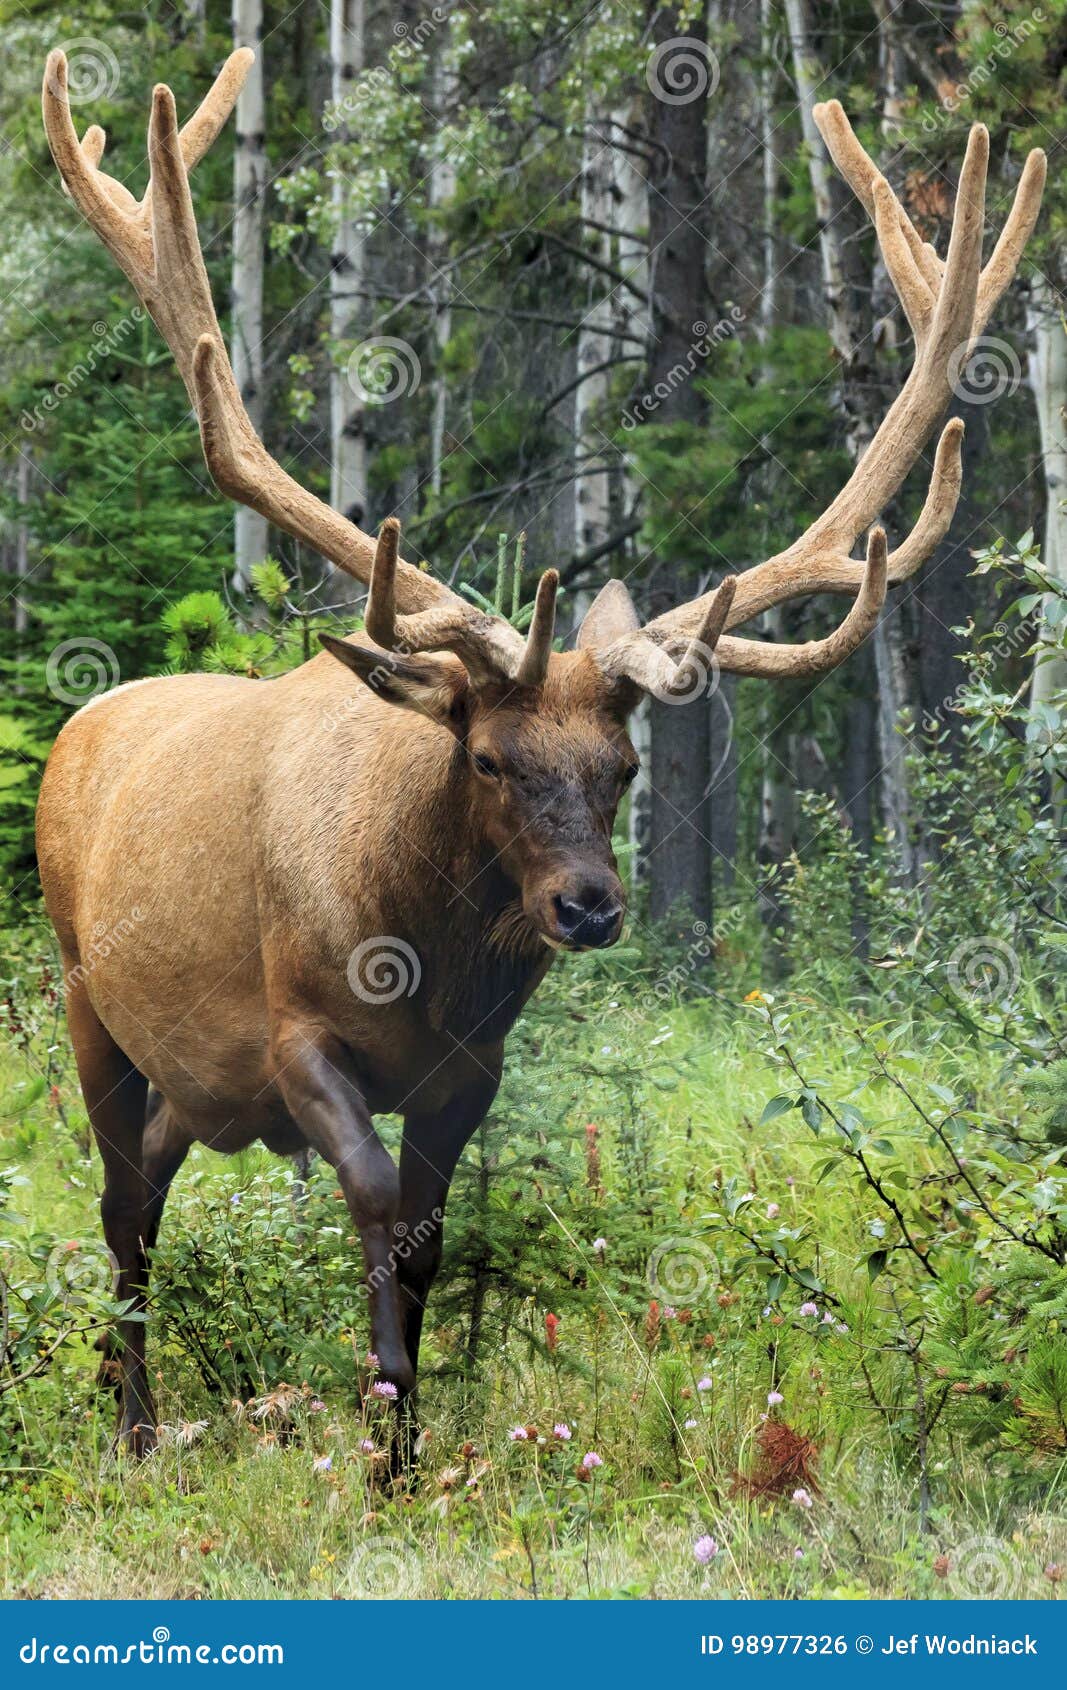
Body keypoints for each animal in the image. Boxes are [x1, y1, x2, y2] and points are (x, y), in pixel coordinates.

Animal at [36, 48, 1043, 1456]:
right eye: (488, 760)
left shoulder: (473, 1066)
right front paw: (381, 1429)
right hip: (90, 1001)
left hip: (192, 1080)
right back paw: (132, 1426)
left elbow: (424, 1235)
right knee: (122, 1216)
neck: (422, 954)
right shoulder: (293, 1028)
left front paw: (404, 1446)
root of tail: (81, 726)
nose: (589, 906)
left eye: (621, 768)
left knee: (156, 1189)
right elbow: (366, 1197)